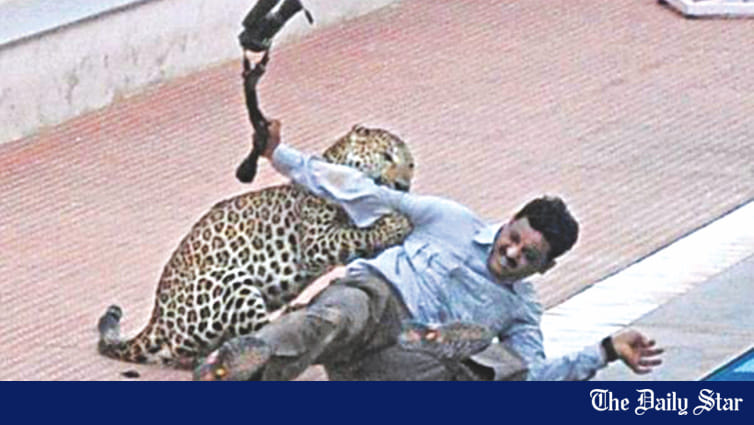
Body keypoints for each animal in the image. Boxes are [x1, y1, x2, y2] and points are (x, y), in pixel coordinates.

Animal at [97, 125, 415, 368]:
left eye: (410, 166)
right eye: (387, 156)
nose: (403, 186)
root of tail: (158, 317)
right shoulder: (318, 239)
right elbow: (357, 233)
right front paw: (397, 221)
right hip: (226, 277)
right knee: (257, 335)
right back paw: (293, 313)